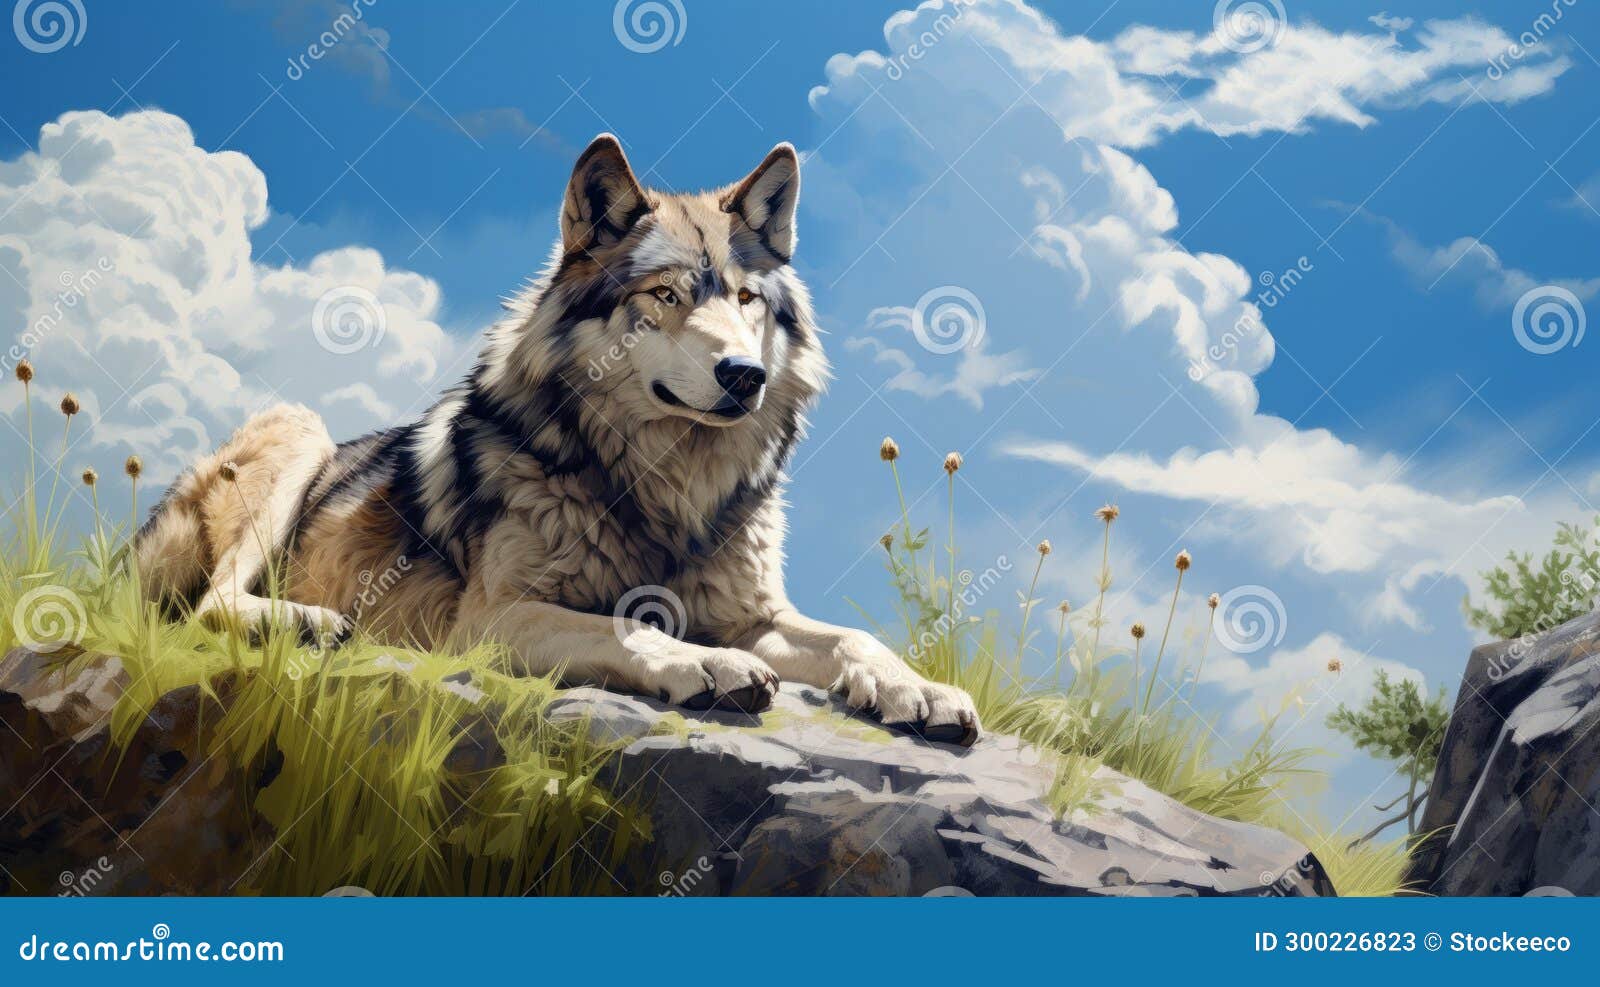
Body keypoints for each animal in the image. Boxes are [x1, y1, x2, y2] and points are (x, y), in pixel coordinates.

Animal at [135, 135, 980, 745]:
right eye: (664, 295)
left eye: (746, 299)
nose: (745, 375)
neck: (663, 489)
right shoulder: (490, 619)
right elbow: (625, 624)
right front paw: (707, 663)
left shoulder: (757, 613)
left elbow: (855, 637)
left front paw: (918, 686)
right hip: (300, 431)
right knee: (207, 604)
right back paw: (308, 621)